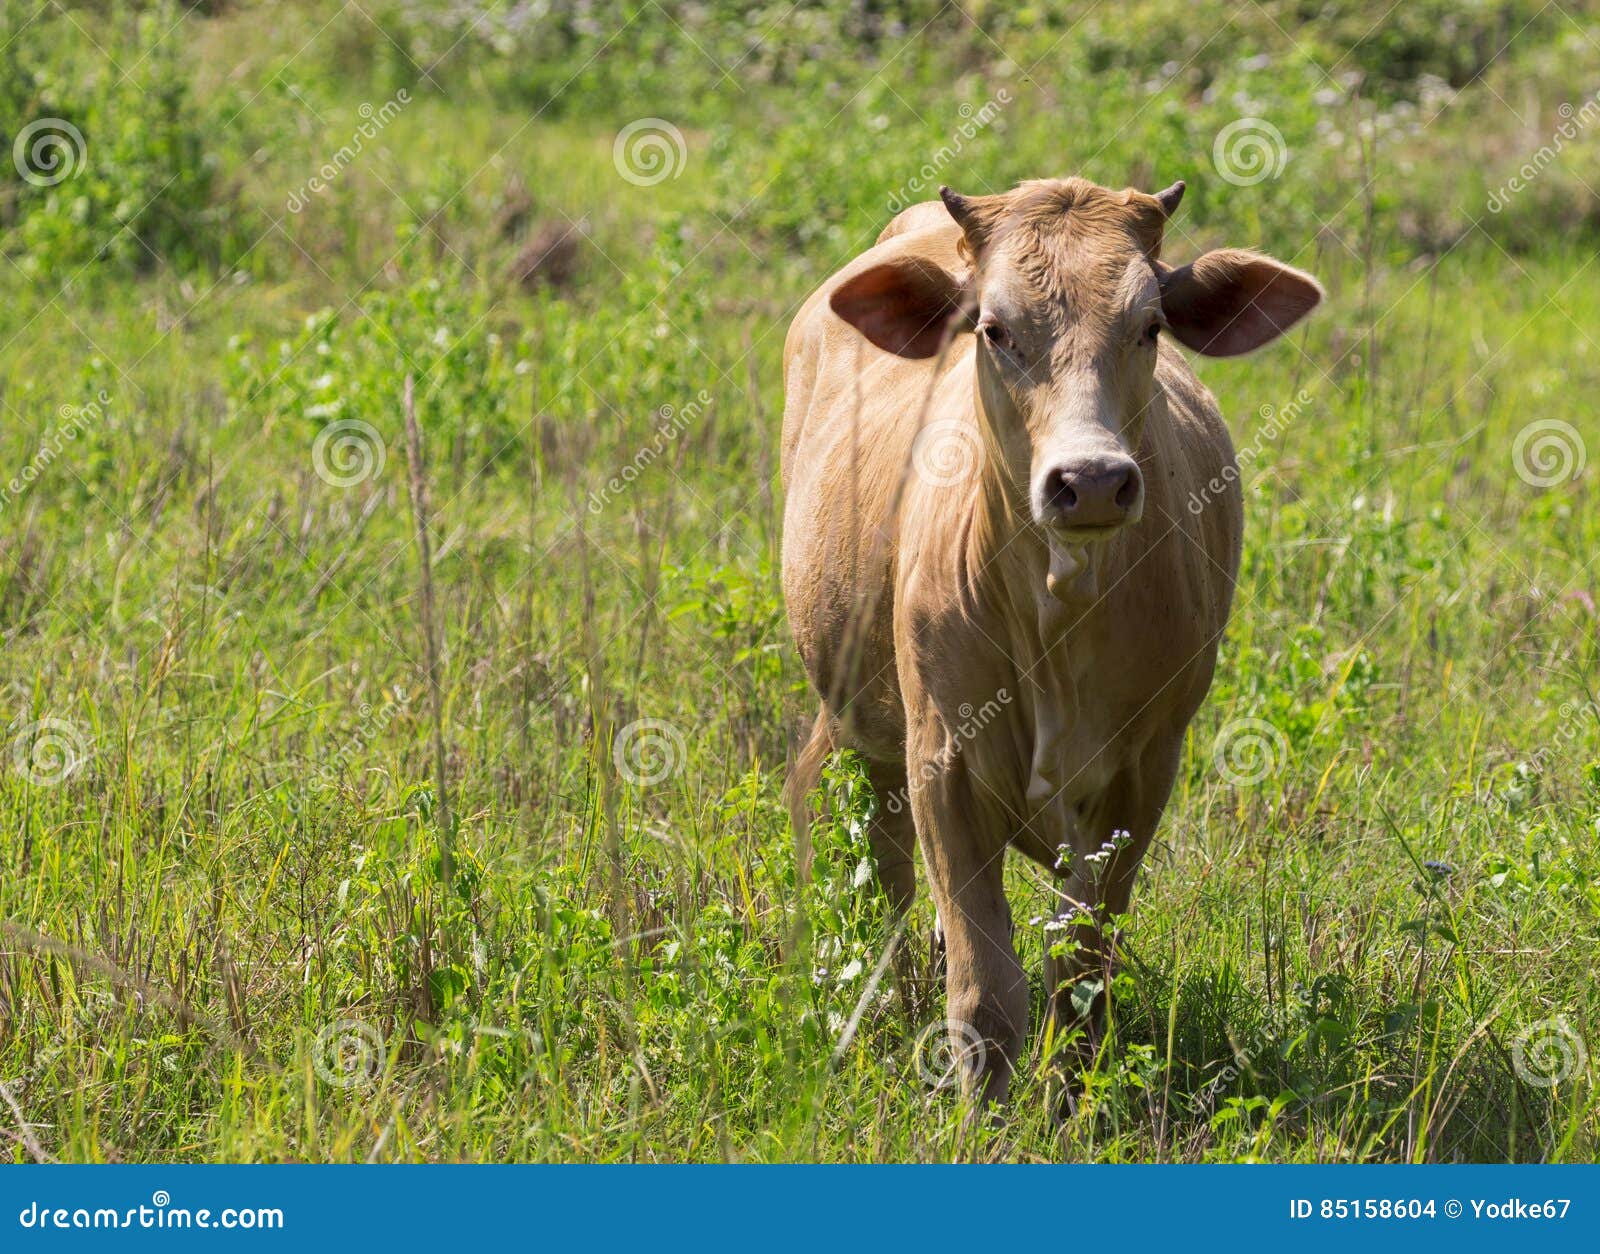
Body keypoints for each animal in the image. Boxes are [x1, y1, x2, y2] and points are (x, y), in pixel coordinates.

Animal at [780, 176, 1321, 1106]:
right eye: (995, 329)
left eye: (1150, 326)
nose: (1092, 481)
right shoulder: (941, 761)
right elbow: (985, 986)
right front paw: (983, 1115)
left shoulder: (1145, 772)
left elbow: (1079, 960)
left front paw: (1068, 1100)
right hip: (871, 737)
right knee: (889, 874)